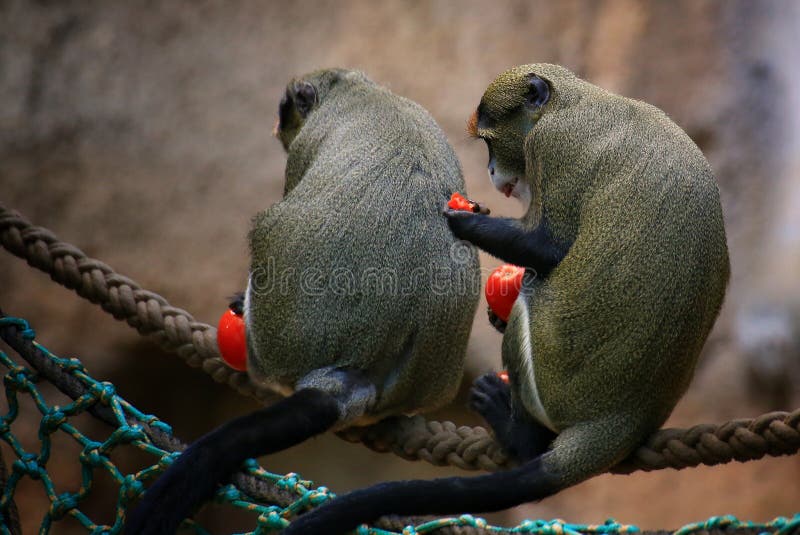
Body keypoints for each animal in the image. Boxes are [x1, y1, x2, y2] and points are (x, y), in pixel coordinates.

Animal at [125, 68, 480, 534]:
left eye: (286, 107)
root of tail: (352, 381)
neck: (358, 90)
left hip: (282, 342)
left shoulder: (303, 151)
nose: (276, 124)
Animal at [281, 63, 730, 535]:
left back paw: (518, 434)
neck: (573, 99)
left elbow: (549, 246)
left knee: (529, 303)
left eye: (491, 141)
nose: (493, 171)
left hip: (556, 381)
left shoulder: (552, 145)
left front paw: (462, 220)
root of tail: (629, 414)